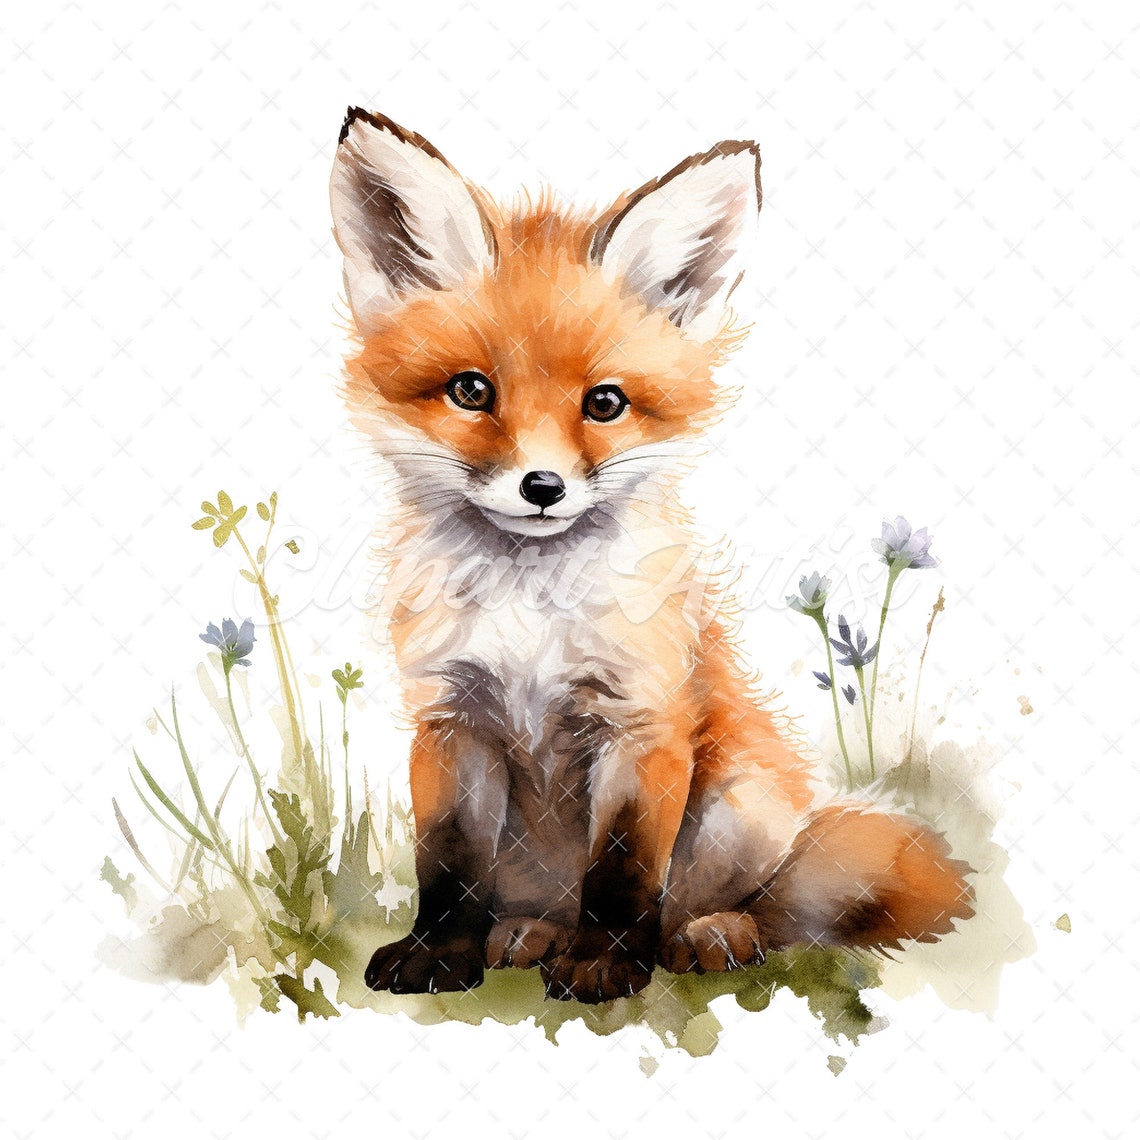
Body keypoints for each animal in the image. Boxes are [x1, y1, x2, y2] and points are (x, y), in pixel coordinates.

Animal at [329, 108, 974, 1005]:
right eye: (471, 392)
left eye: (605, 403)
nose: (541, 486)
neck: (530, 612)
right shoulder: (450, 720)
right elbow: (448, 864)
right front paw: (439, 953)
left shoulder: (643, 723)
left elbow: (624, 870)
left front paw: (603, 964)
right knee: (542, 902)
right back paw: (526, 934)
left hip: (741, 810)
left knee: (740, 909)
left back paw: (708, 935)